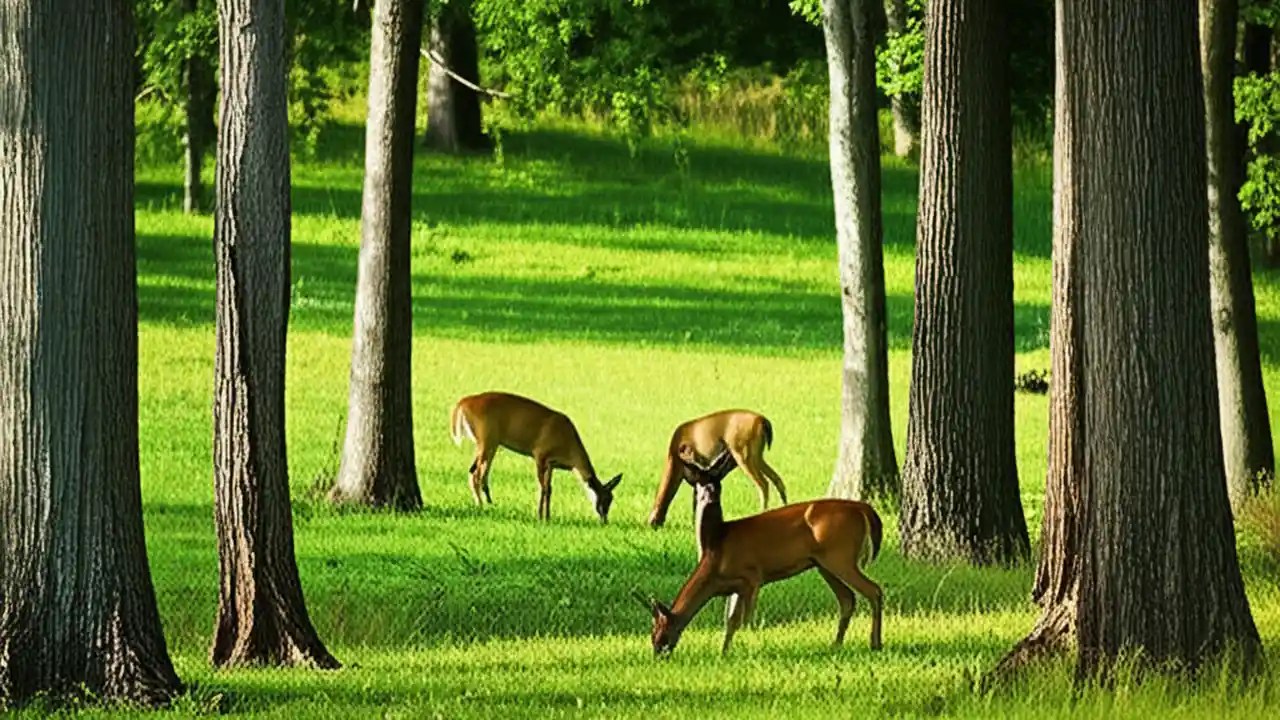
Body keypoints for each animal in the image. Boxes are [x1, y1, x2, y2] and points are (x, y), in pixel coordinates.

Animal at [450, 391, 622, 523]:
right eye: (604, 499)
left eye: (611, 499)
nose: (604, 520)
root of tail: (463, 403)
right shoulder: (539, 454)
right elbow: (542, 488)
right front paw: (540, 517)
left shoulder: (551, 463)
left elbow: (549, 489)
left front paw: (548, 516)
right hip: (486, 440)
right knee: (477, 474)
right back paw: (481, 506)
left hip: (489, 444)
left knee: (473, 471)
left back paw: (487, 504)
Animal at [637, 448, 883, 656]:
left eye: (656, 628)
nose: (657, 650)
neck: (713, 563)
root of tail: (864, 509)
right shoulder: (736, 586)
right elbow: (730, 621)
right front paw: (724, 652)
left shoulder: (753, 576)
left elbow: (745, 620)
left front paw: (747, 648)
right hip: (824, 563)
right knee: (847, 598)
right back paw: (837, 644)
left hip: (840, 556)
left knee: (874, 590)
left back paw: (875, 643)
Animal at [647, 409, 788, 528]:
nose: (655, 525)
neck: (674, 461)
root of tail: (763, 421)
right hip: (757, 456)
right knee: (777, 479)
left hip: (744, 454)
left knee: (763, 484)